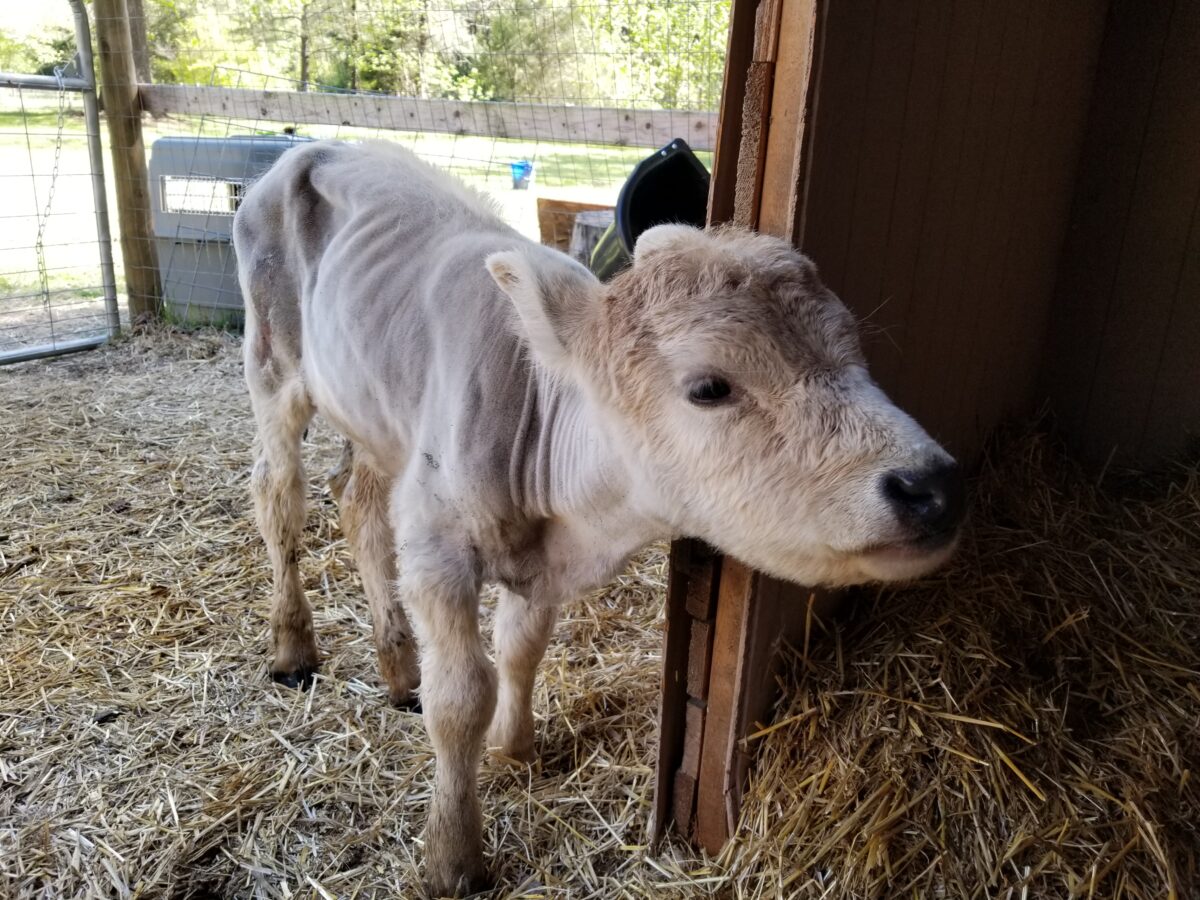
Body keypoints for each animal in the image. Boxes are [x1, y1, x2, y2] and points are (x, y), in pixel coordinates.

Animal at [232, 140, 964, 896]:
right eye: (709, 386)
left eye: (856, 351)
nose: (930, 485)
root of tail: (316, 147)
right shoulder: (437, 547)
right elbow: (461, 698)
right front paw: (453, 856)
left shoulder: (534, 561)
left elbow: (521, 647)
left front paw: (516, 747)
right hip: (272, 365)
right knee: (279, 495)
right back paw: (293, 647)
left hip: (375, 420)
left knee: (356, 502)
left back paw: (397, 663)